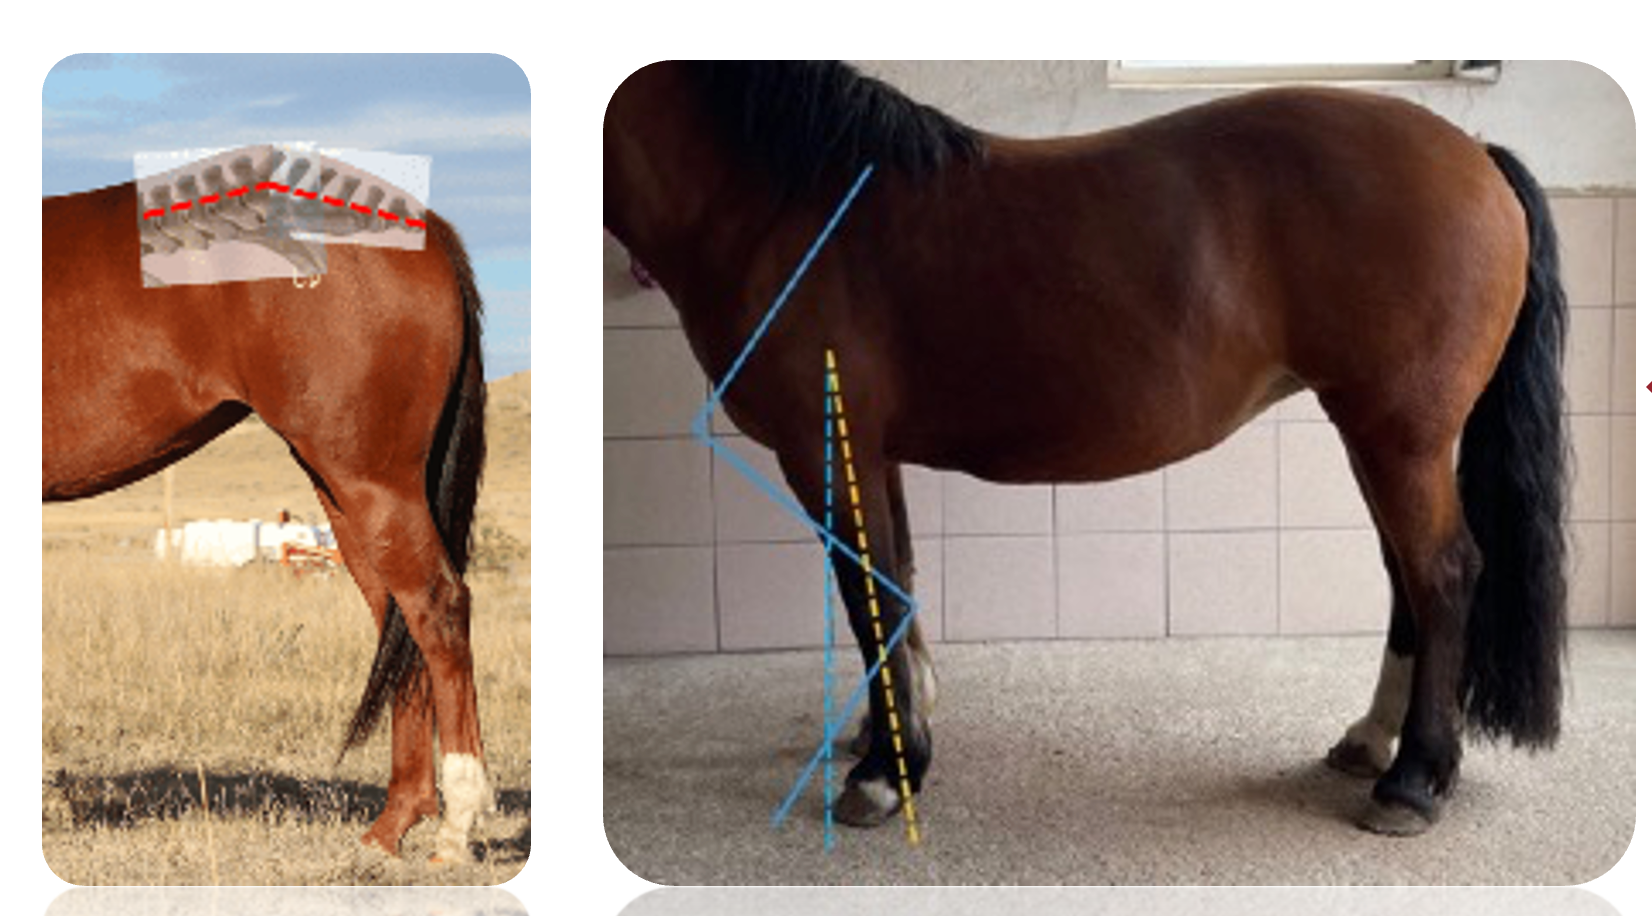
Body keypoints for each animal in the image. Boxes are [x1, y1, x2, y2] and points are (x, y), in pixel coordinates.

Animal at [42, 154, 491, 863]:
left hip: (372, 480)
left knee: (436, 609)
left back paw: (455, 825)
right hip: (348, 491)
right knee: (398, 623)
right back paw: (393, 823)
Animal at [603, 61, 1567, 837]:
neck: (781, 204)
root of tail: (1475, 154)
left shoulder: (824, 446)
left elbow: (867, 590)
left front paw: (885, 774)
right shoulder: (873, 452)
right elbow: (898, 583)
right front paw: (896, 733)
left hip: (1399, 432)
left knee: (1443, 574)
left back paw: (1414, 781)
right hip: (1376, 433)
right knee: (1406, 577)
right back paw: (1372, 741)